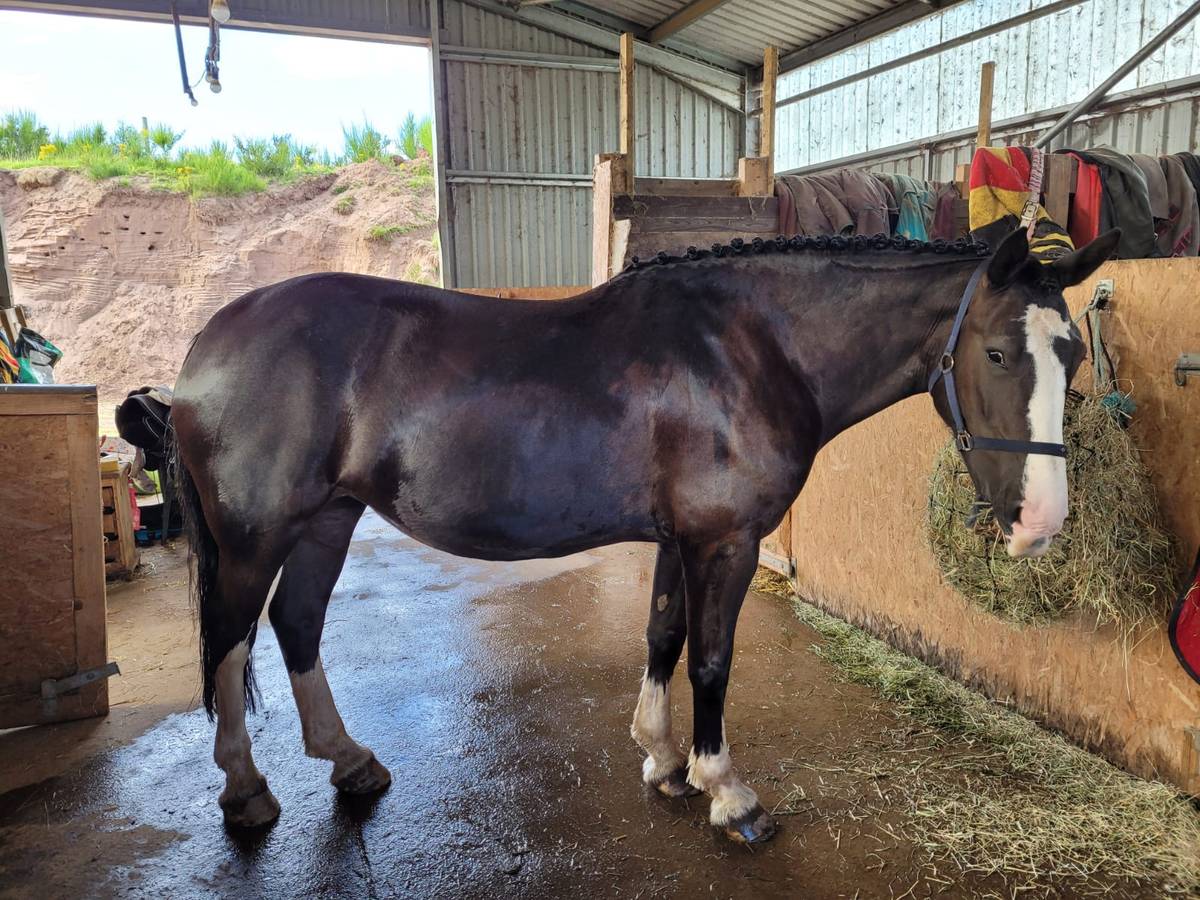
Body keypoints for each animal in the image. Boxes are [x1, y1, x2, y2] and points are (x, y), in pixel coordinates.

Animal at [163, 225, 1118, 843]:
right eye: (996, 353)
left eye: (1073, 353)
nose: (1041, 525)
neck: (753, 347)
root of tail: (209, 340)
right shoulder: (724, 542)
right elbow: (712, 660)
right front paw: (727, 791)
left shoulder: (677, 538)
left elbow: (662, 635)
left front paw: (661, 760)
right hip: (257, 536)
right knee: (232, 641)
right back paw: (246, 790)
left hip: (328, 518)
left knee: (296, 626)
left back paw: (349, 760)